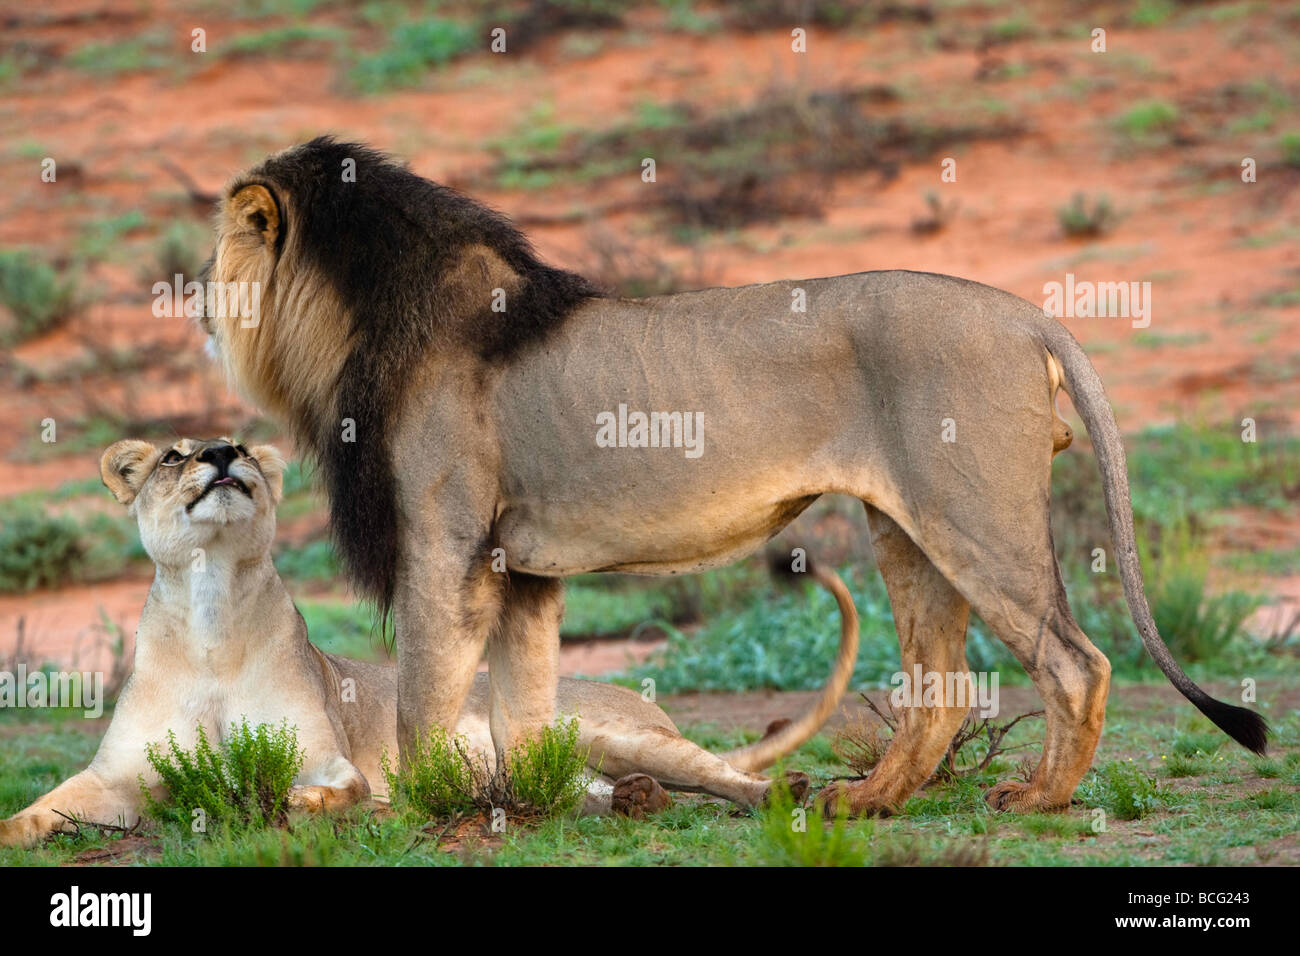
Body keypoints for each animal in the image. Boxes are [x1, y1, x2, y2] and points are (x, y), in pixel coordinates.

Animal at [0, 438, 856, 848]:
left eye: (237, 444)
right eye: (176, 455)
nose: (220, 455)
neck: (212, 612)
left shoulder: (328, 753)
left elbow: (337, 789)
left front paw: (303, 802)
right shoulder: (116, 778)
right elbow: (49, 803)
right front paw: (16, 831)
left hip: (616, 733)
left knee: (721, 777)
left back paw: (788, 791)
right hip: (560, 769)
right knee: (601, 794)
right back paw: (636, 802)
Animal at [199, 137, 1266, 816]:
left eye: (218, 251)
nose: (200, 313)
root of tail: (1026, 312)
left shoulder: (447, 544)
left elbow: (425, 699)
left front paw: (421, 804)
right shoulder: (521, 567)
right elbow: (525, 708)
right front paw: (536, 799)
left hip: (974, 518)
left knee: (1076, 663)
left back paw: (1038, 798)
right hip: (907, 528)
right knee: (943, 687)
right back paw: (863, 803)